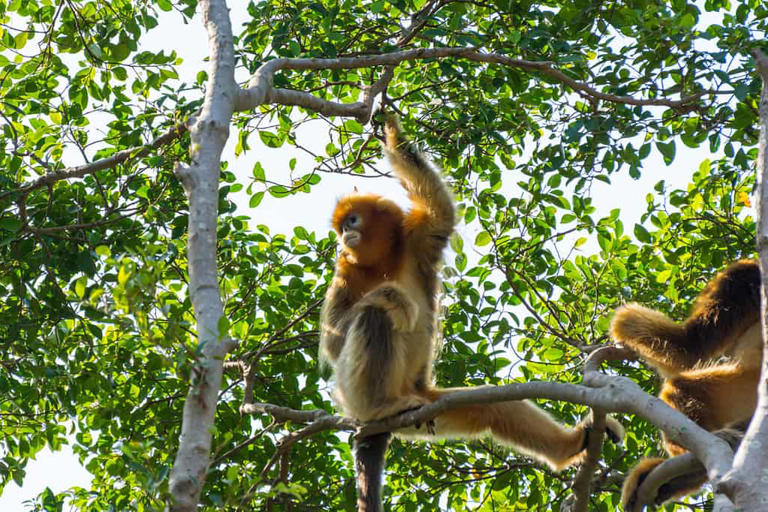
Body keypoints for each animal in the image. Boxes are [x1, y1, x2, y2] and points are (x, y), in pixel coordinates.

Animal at [319, 115, 624, 510]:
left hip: (433, 404)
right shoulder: (345, 268)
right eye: (342, 228)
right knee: (374, 317)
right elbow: (334, 342)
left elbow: (441, 210)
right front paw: (392, 294)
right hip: (355, 395)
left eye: (352, 221)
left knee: (495, 407)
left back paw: (571, 445)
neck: (381, 260)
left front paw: (390, 129)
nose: (344, 236)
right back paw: (381, 406)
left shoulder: (419, 238)